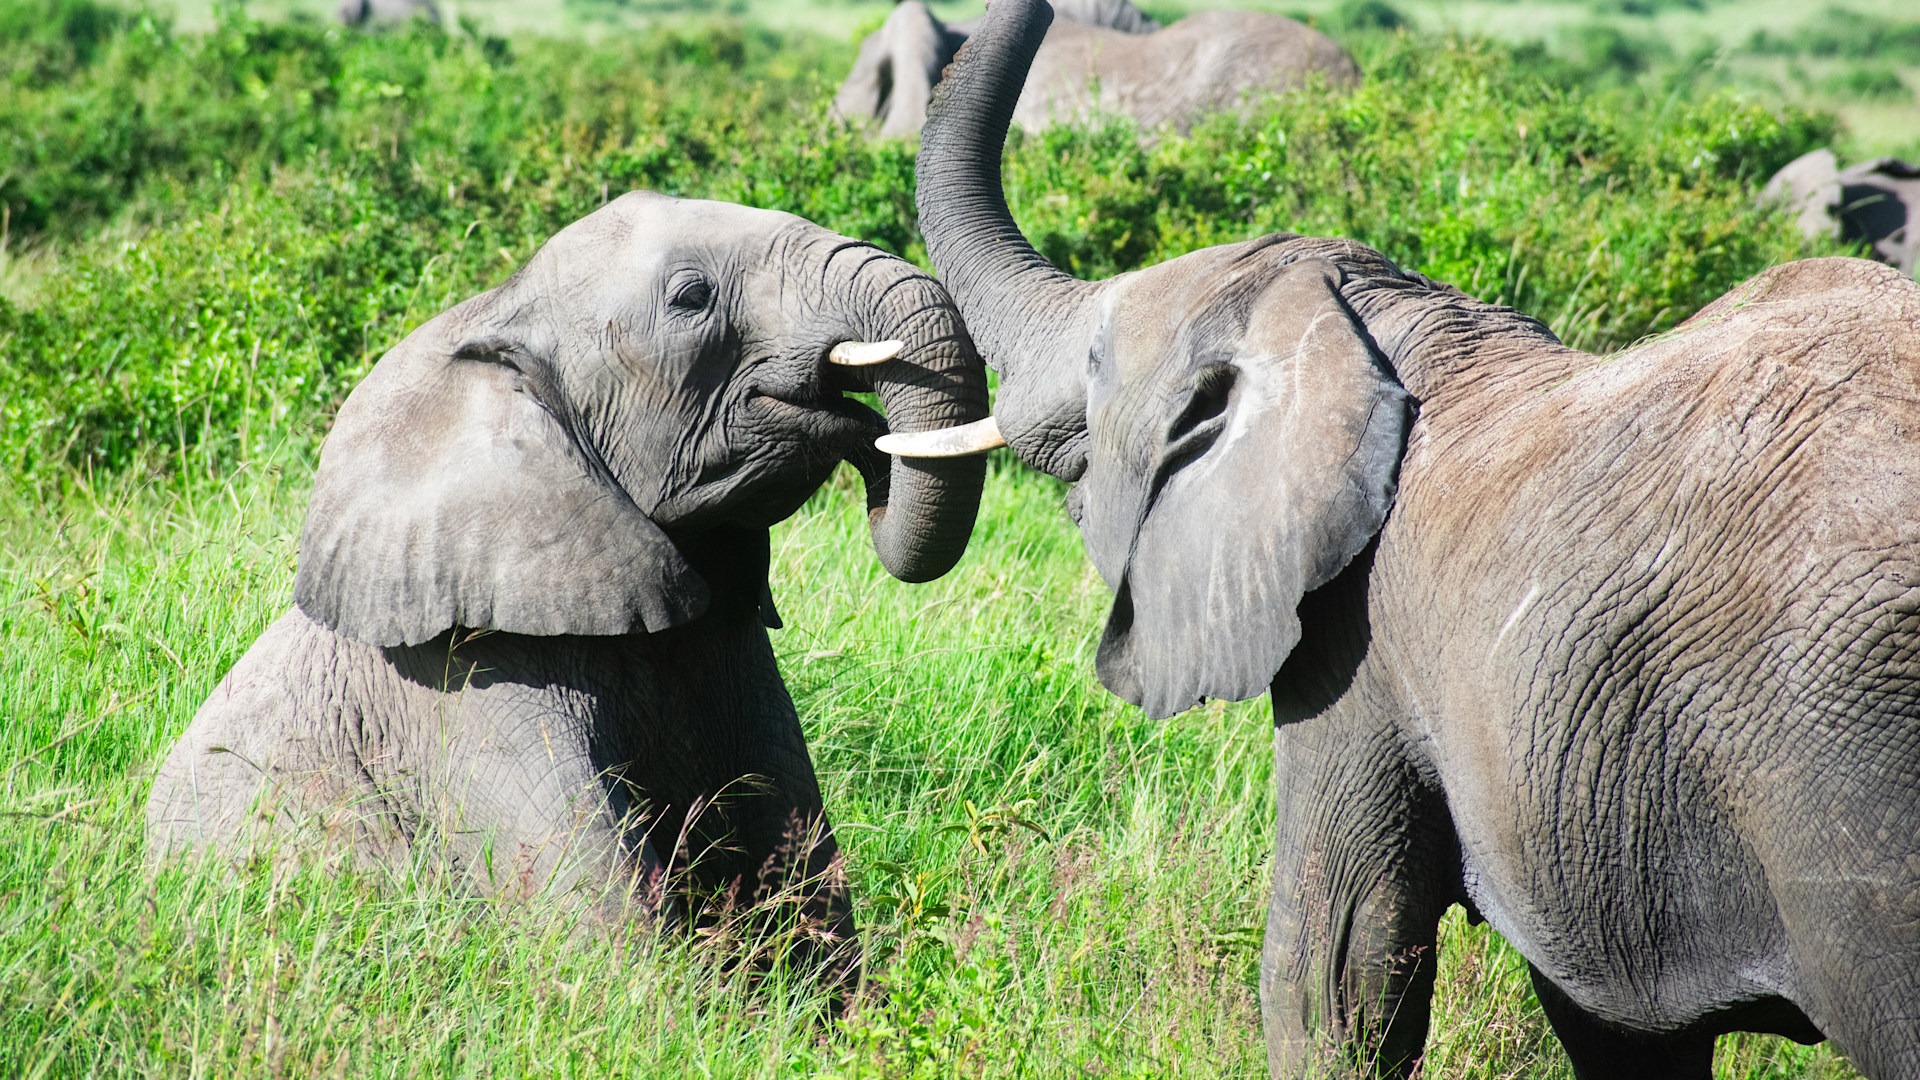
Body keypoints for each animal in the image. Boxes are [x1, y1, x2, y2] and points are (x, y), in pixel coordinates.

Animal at [145, 192, 999, 987]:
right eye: (691, 297)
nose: (868, 431)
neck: (493, 315)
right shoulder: (466, 686)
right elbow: (595, 908)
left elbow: (795, 851)